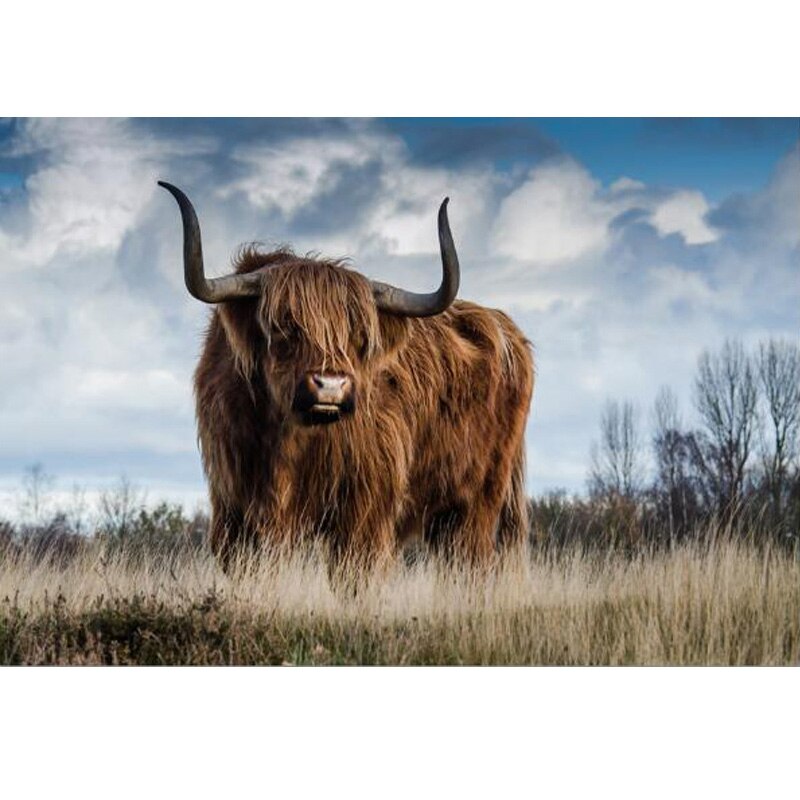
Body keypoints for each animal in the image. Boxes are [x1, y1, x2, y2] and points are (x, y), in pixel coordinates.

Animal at [158, 181, 534, 577]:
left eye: (359, 335)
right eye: (284, 326)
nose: (331, 386)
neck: (287, 441)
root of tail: (505, 327)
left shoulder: (364, 511)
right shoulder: (234, 509)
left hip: (476, 503)